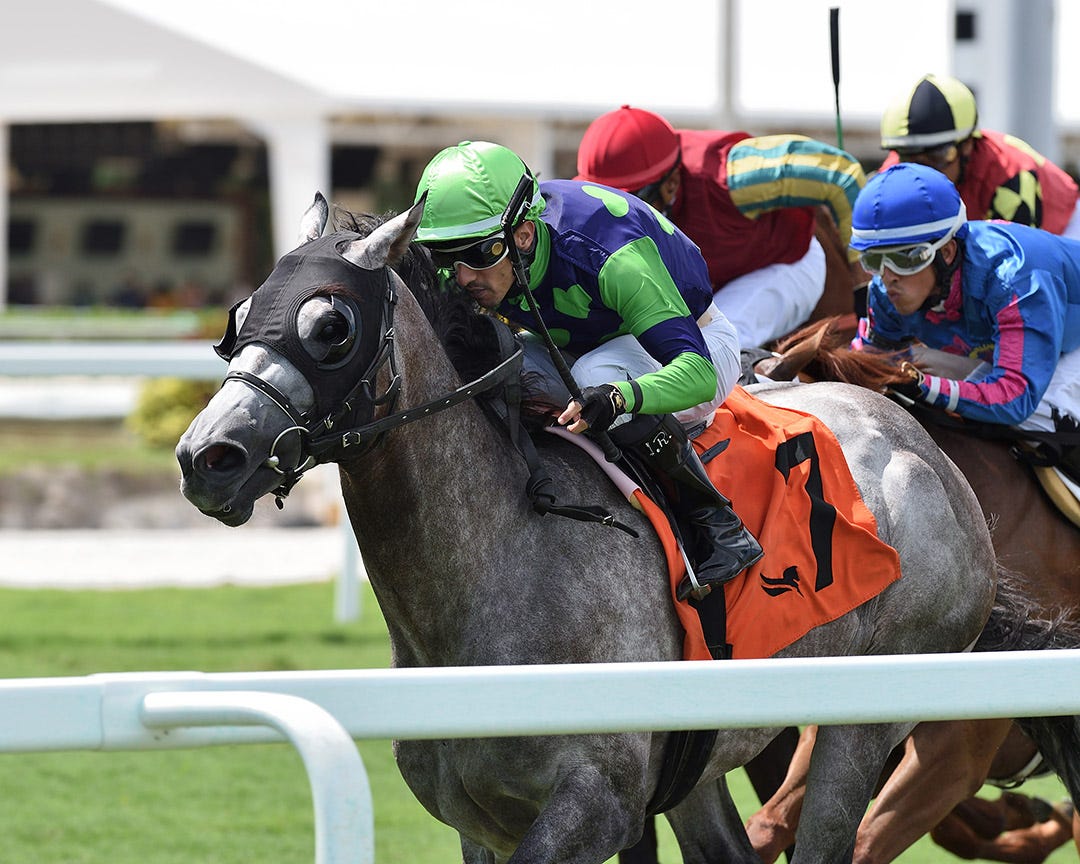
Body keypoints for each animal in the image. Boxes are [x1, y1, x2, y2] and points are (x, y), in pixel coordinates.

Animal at [176, 194, 1008, 864]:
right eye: (240, 318)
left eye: (332, 326)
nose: (207, 456)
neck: (500, 564)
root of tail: (917, 439)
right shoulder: (480, 822)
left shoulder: (595, 802)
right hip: (699, 754)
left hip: (869, 711)